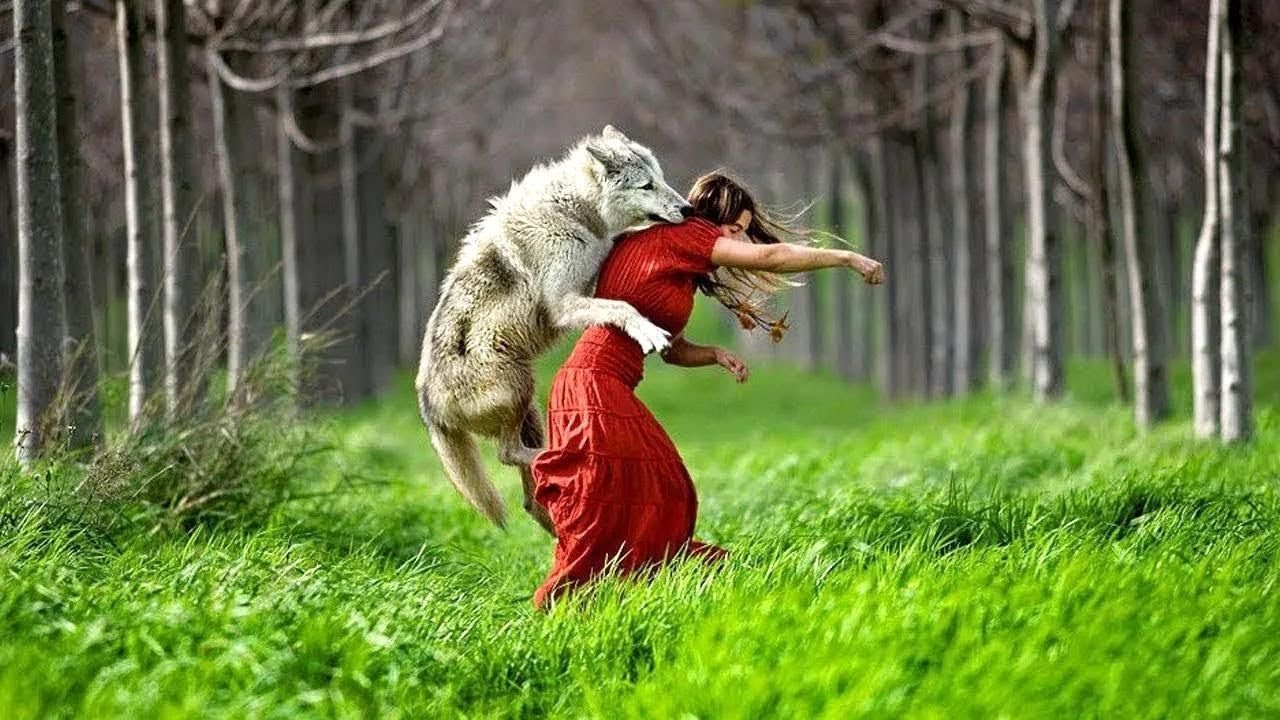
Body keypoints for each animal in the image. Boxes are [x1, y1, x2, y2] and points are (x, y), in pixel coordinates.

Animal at [416, 125, 693, 534]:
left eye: (662, 178)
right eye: (647, 185)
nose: (689, 209)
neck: (574, 212)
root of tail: (428, 407)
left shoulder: (590, 281)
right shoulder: (565, 304)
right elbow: (623, 307)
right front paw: (647, 331)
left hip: (528, 407)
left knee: (528, 495)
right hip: (519, 385)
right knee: (508, 454)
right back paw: (560, 457)